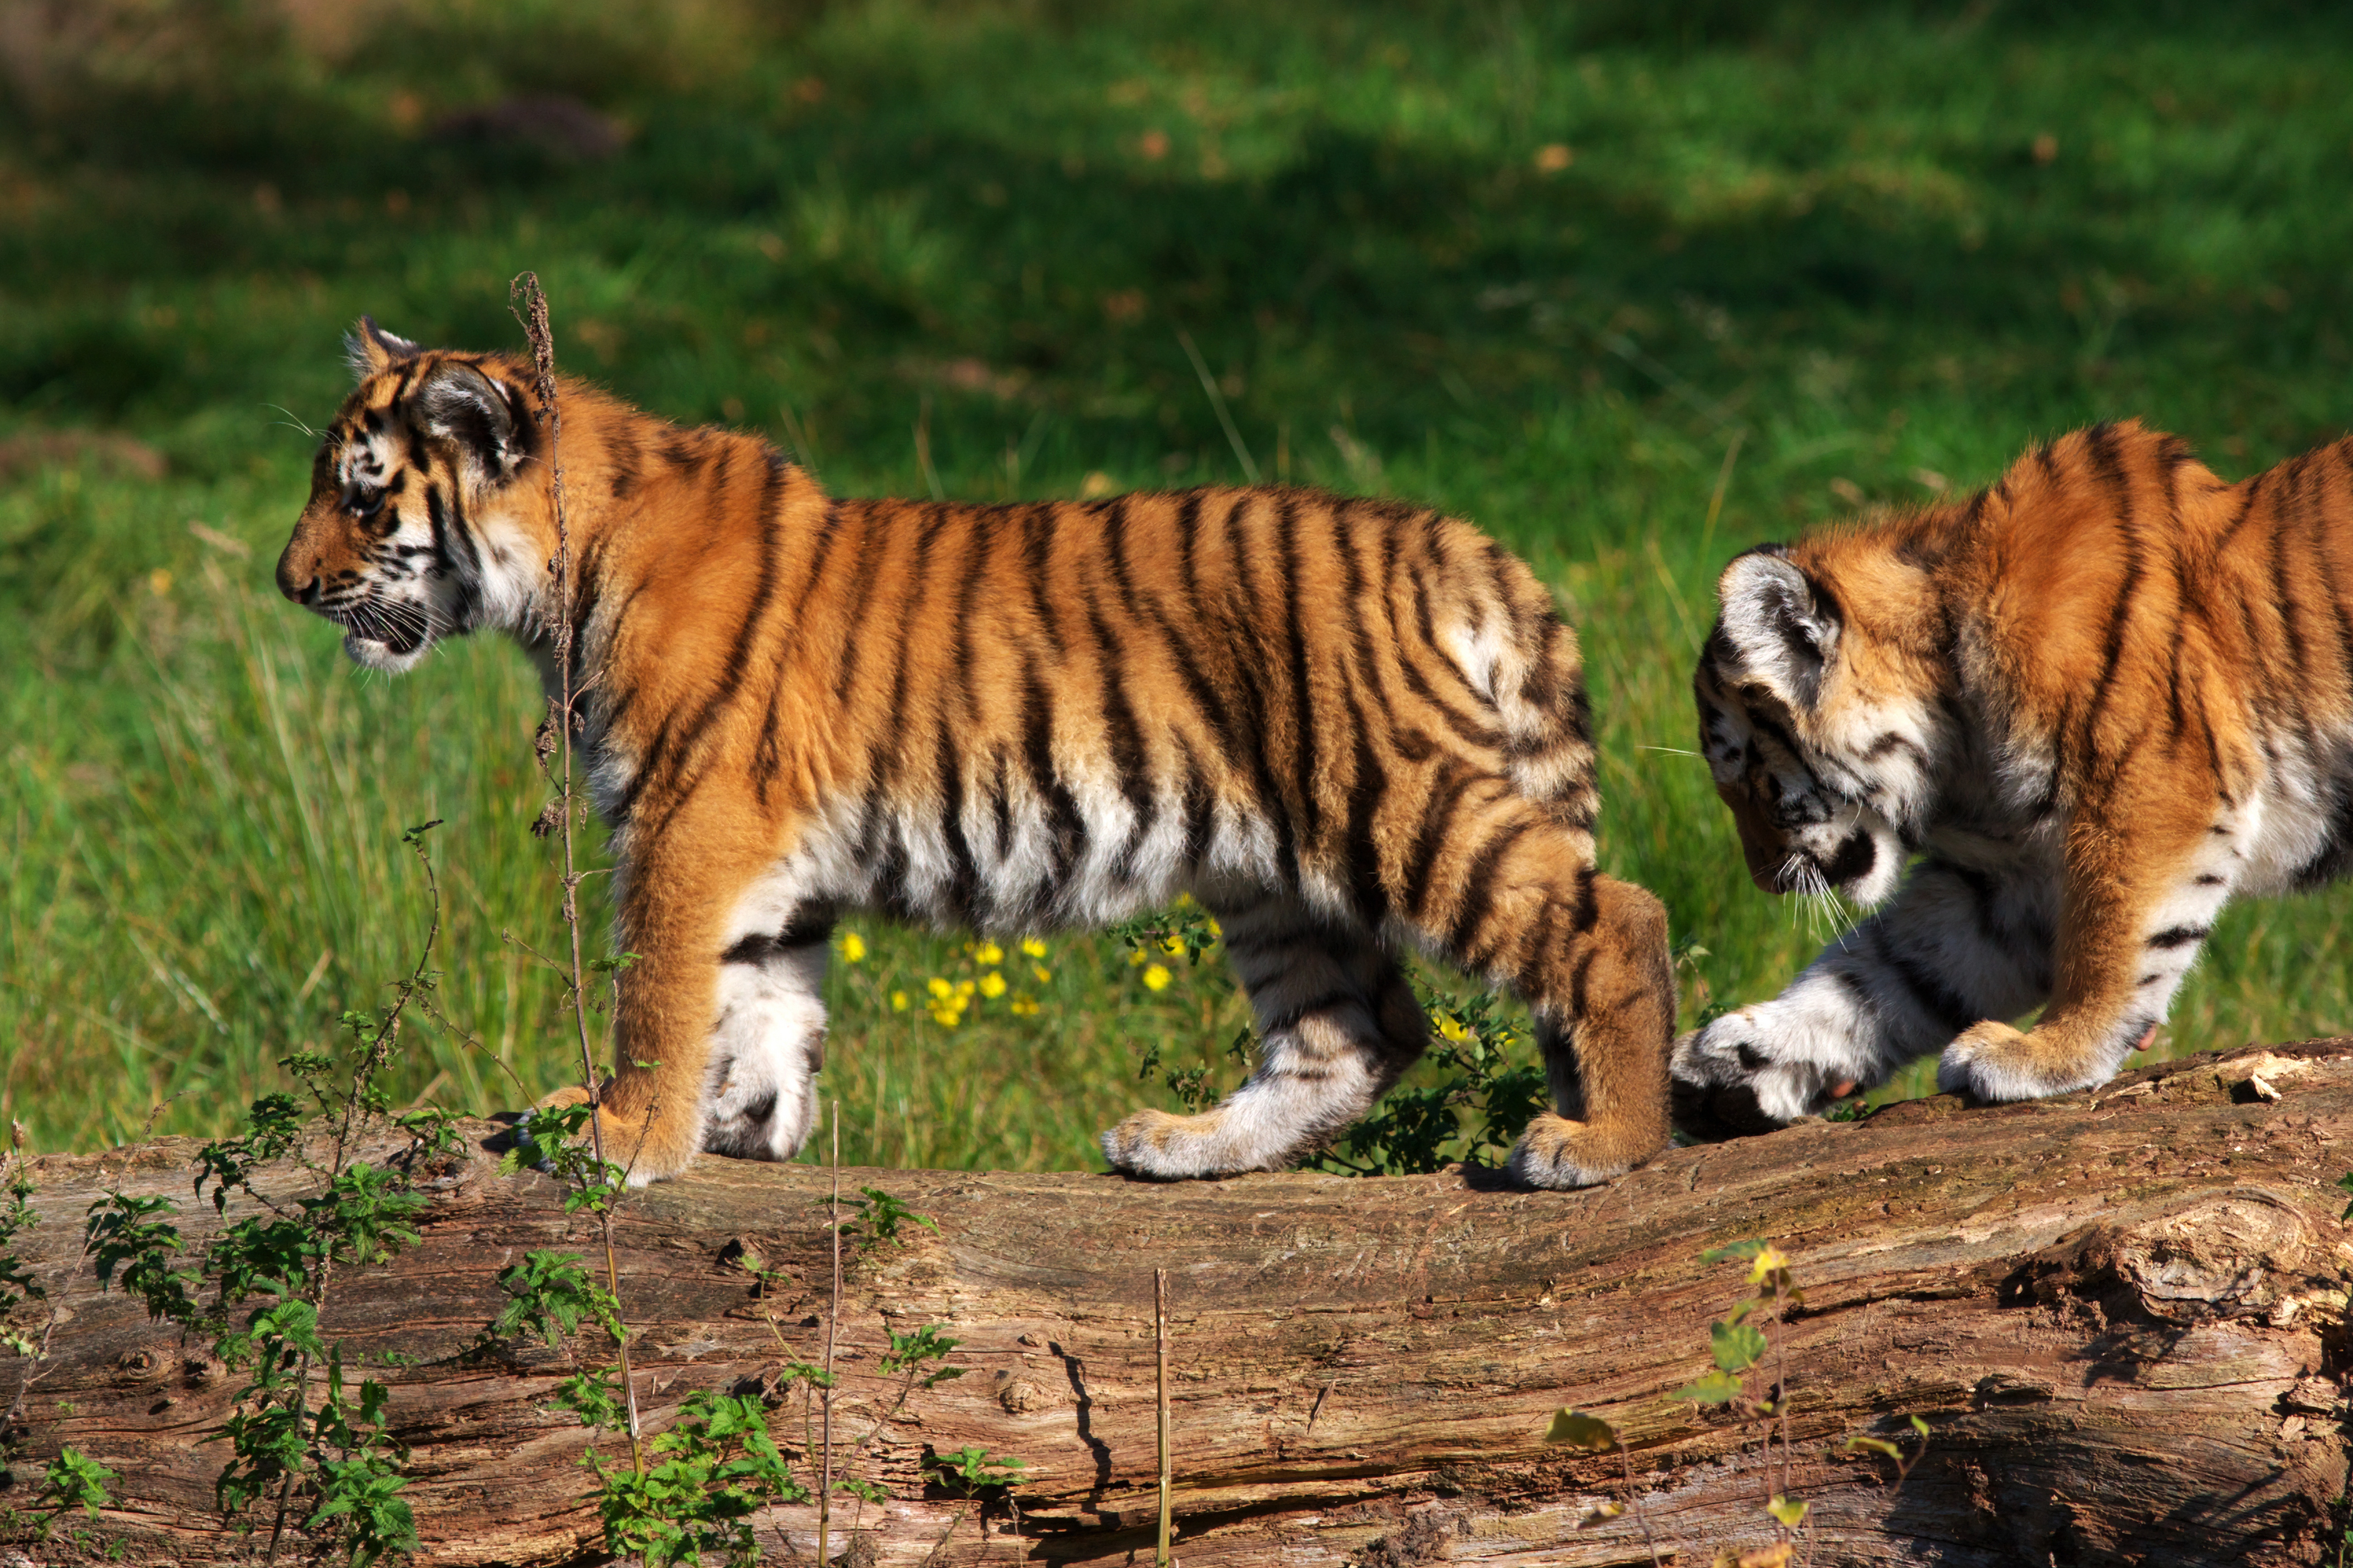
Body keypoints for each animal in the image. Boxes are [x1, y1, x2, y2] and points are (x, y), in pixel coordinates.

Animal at [274, 318, 1677, 1187]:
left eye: (360, 494)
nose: (288, 585)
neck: (560, 579)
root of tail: (1464, 544)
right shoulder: (756, 853)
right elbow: (758, 994)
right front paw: (745, 1126)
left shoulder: (686, 819)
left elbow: (660, 990)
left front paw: (624, 1135)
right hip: (1270, 872)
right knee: (1357, 1033)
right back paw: (1181, 1145)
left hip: (1392, 801)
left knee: (1615, 918)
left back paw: (1601, 1143)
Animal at [1670, 416, 2353, 1139]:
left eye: (1746, 774)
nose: (1763, 882)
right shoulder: (2015, 878)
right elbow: (1888, 969)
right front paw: (1740, 1061)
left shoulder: (2152, 793)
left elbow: (2113, 940)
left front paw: (2049, 1051)